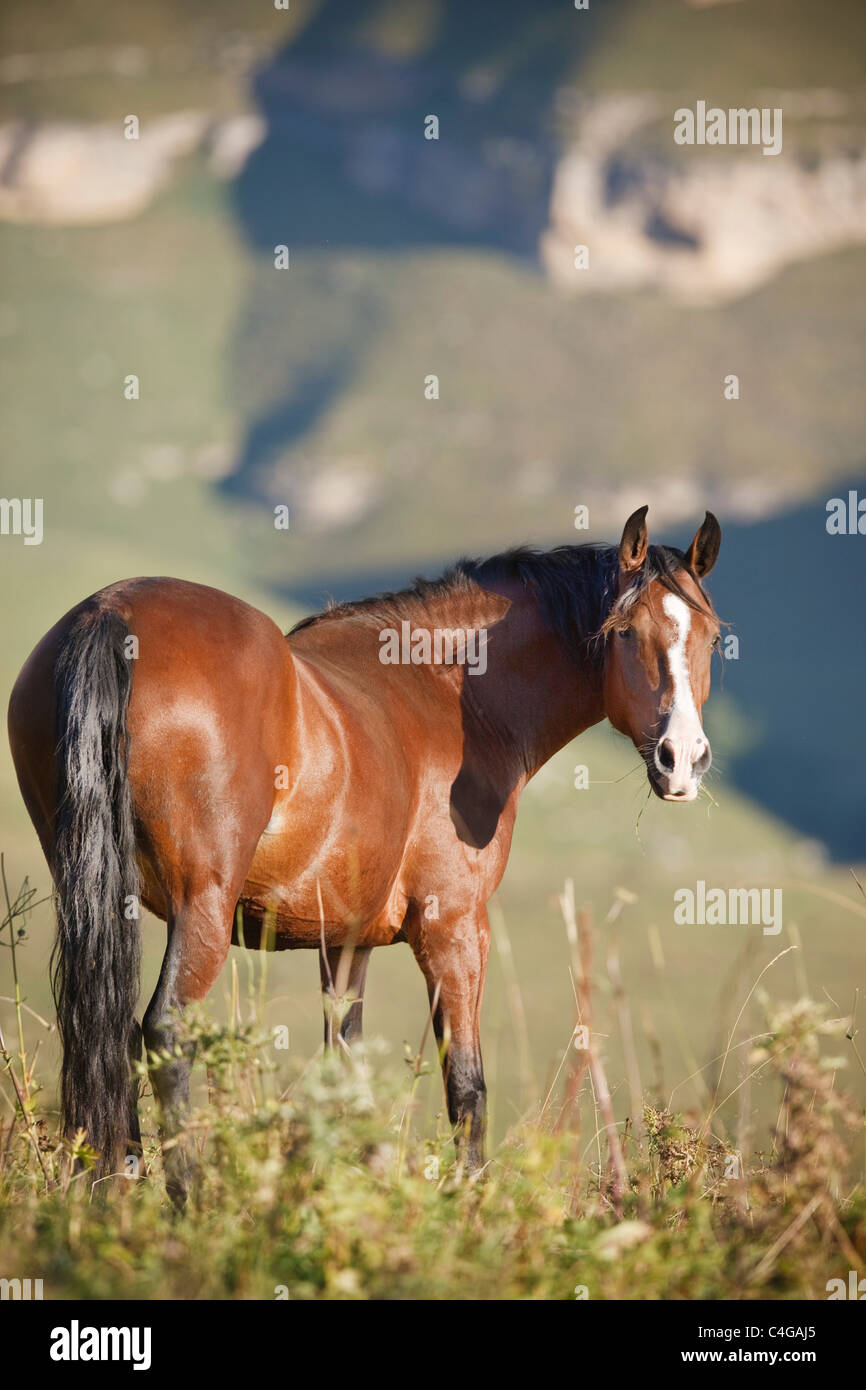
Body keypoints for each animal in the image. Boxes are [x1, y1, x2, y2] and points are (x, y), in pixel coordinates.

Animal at [7, 505, 721, 1200]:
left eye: (712, 637)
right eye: (625, 631)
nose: (682, 760)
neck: (451, 694)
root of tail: (110, 612)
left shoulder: (346, 943)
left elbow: (344, 1073)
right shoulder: (454, 929)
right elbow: (467, 1088)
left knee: (104, 1037)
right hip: (200, 908)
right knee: (163, 1031)